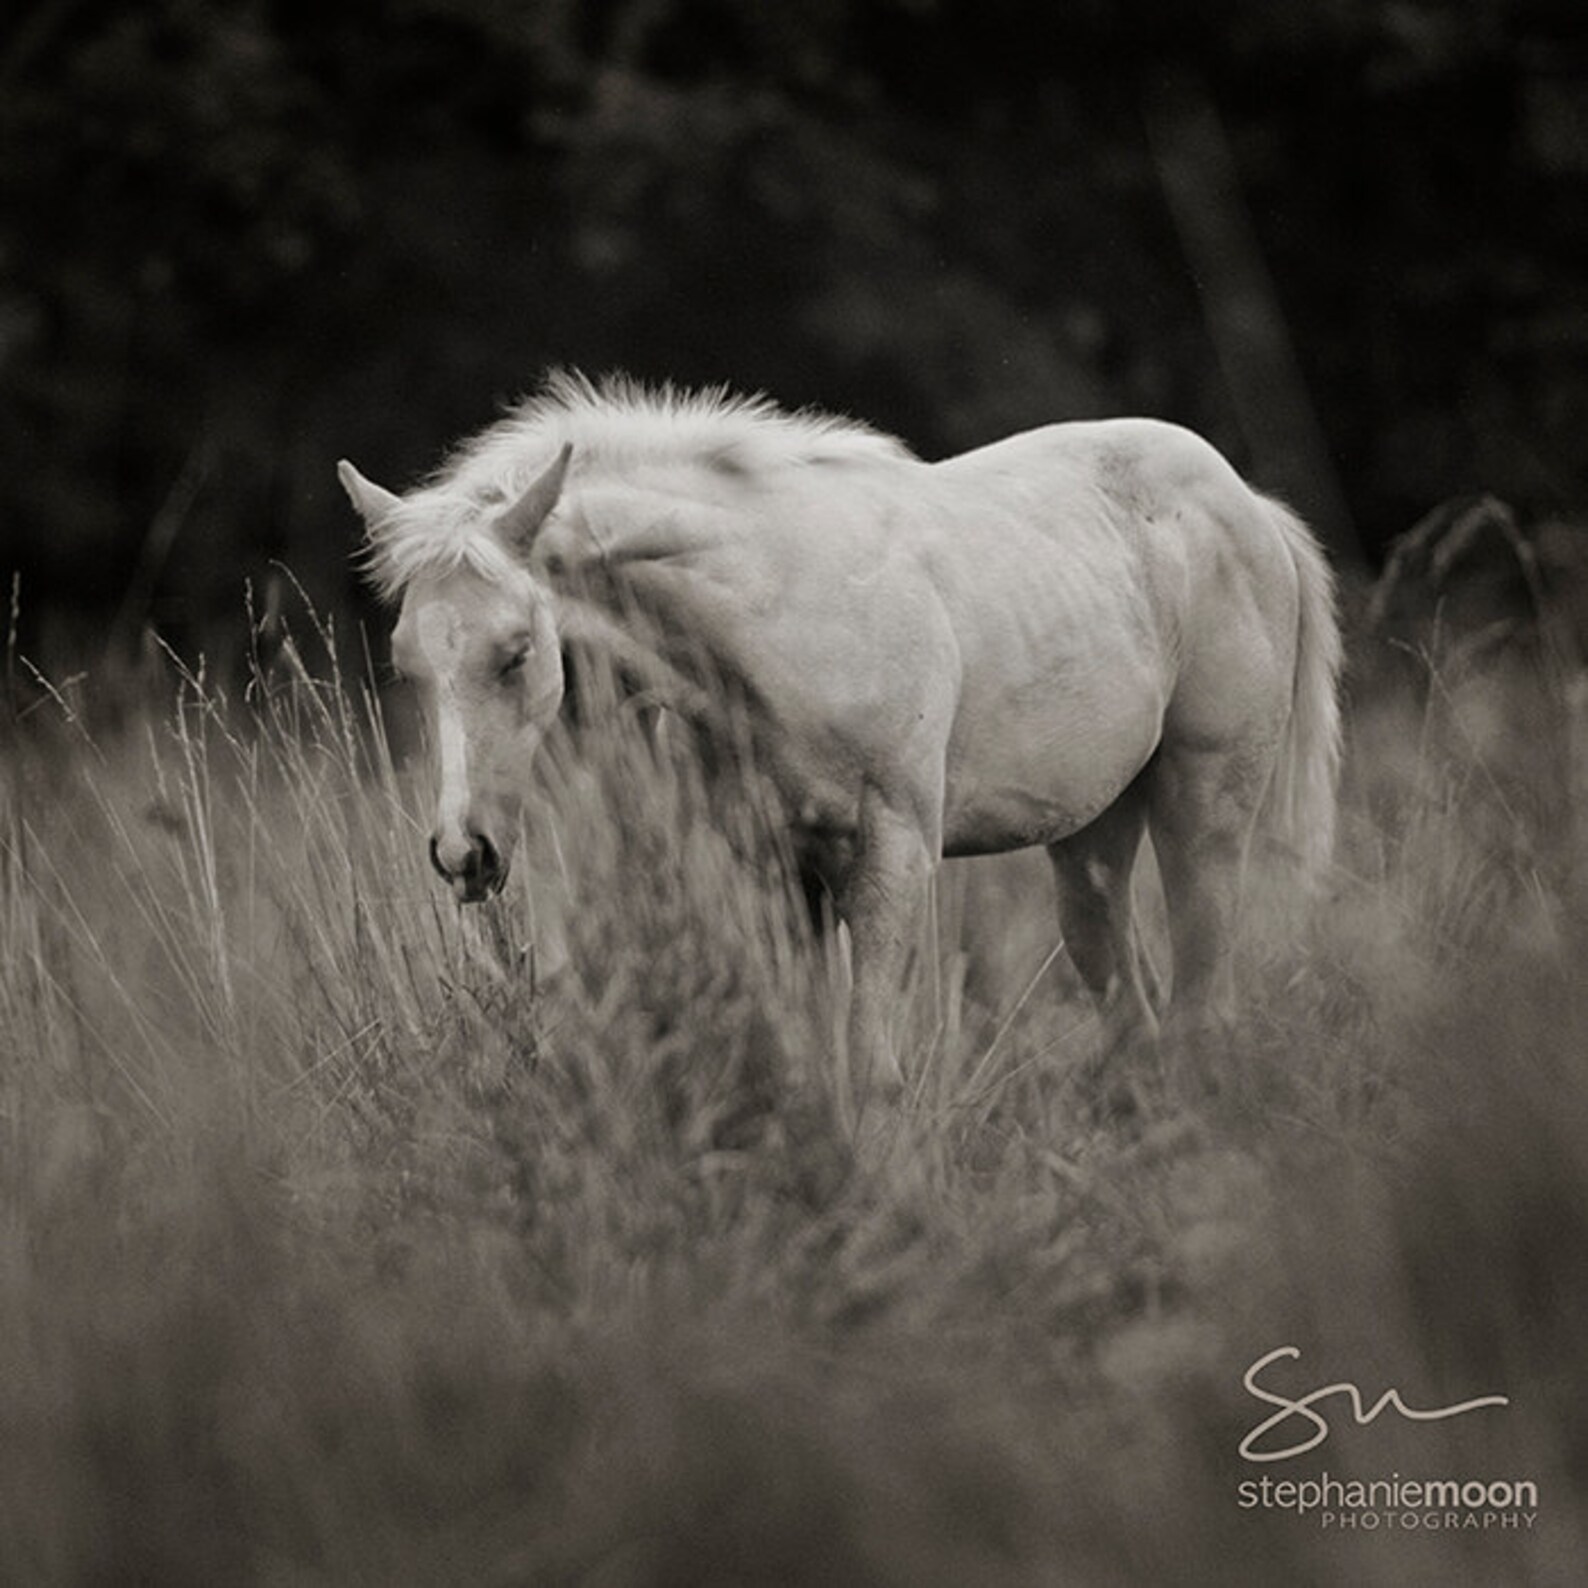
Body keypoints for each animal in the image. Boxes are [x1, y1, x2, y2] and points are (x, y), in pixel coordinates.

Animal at [339, 372, 1342, 1092]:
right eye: (407, 664)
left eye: (516, 653)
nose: (463, 853)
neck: (778, 612)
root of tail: (1248, 504)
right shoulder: (779, 871)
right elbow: (814, 1055)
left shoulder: (890, 856)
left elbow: (871, 1068)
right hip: (1092, 837)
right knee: (1130, 1006)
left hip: (1203, 812)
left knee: (1201, 1010)